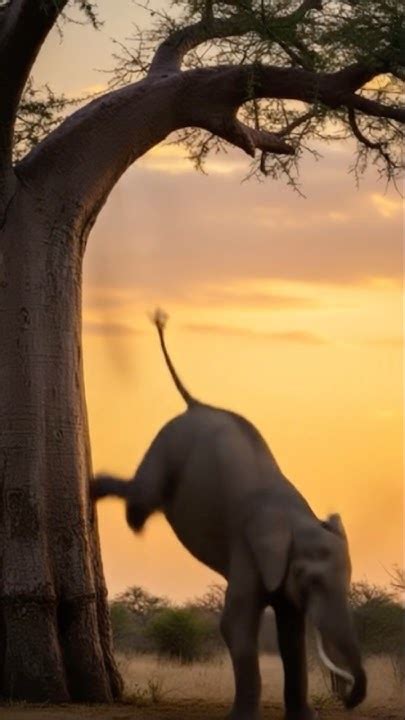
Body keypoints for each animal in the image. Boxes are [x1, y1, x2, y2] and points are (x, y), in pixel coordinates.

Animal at [92, 309, 367, 720]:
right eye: (312, 580)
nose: (348, 699)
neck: (295, 518)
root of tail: (196, 403)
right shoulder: (249, 549)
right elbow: (235, 623)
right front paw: (242, 718)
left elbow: (291, 631)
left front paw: (304, 717)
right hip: (167, 444)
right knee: (143, 498)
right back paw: (105, 499)